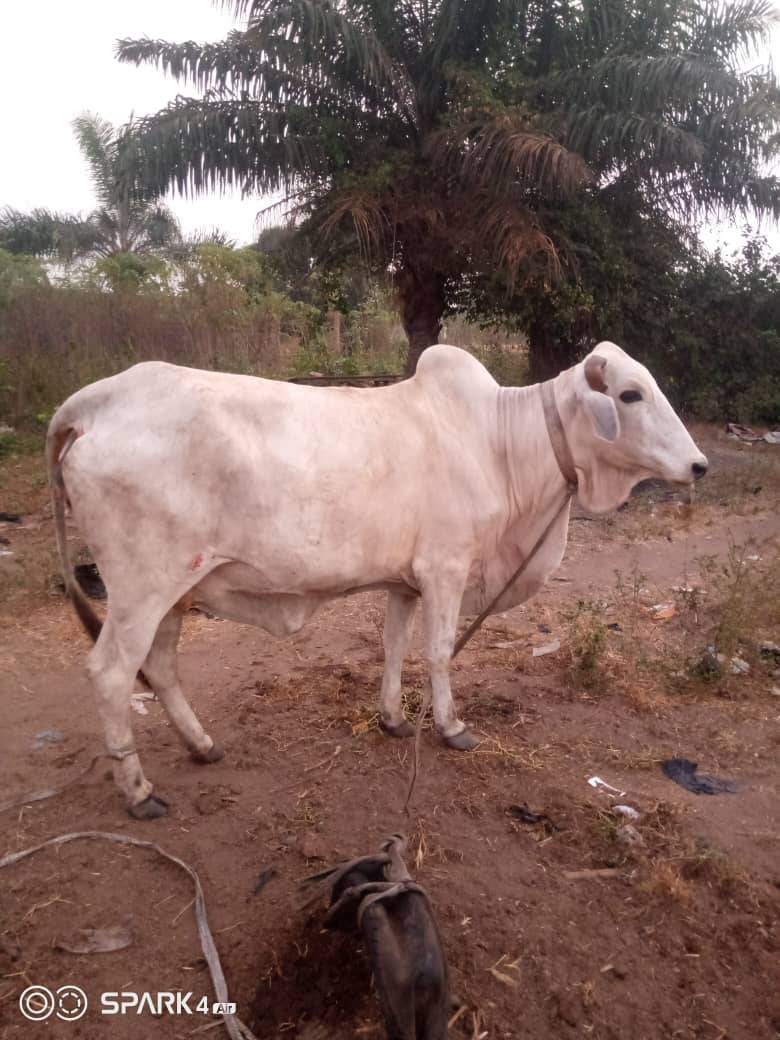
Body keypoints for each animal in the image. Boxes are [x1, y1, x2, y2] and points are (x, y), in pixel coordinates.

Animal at [46, 342, 707, 819]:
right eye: (629, 394)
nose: (699, 465)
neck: (499, 443)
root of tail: (92, 402)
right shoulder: (446, 569)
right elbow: (438, 651)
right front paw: (450, 727)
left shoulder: (405, 583)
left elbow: (394, 647)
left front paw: (392, 719)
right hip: (140, 589)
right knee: (112, 674)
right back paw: (138, 792)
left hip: (176, 594)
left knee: (159, 668)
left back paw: (202, 746)